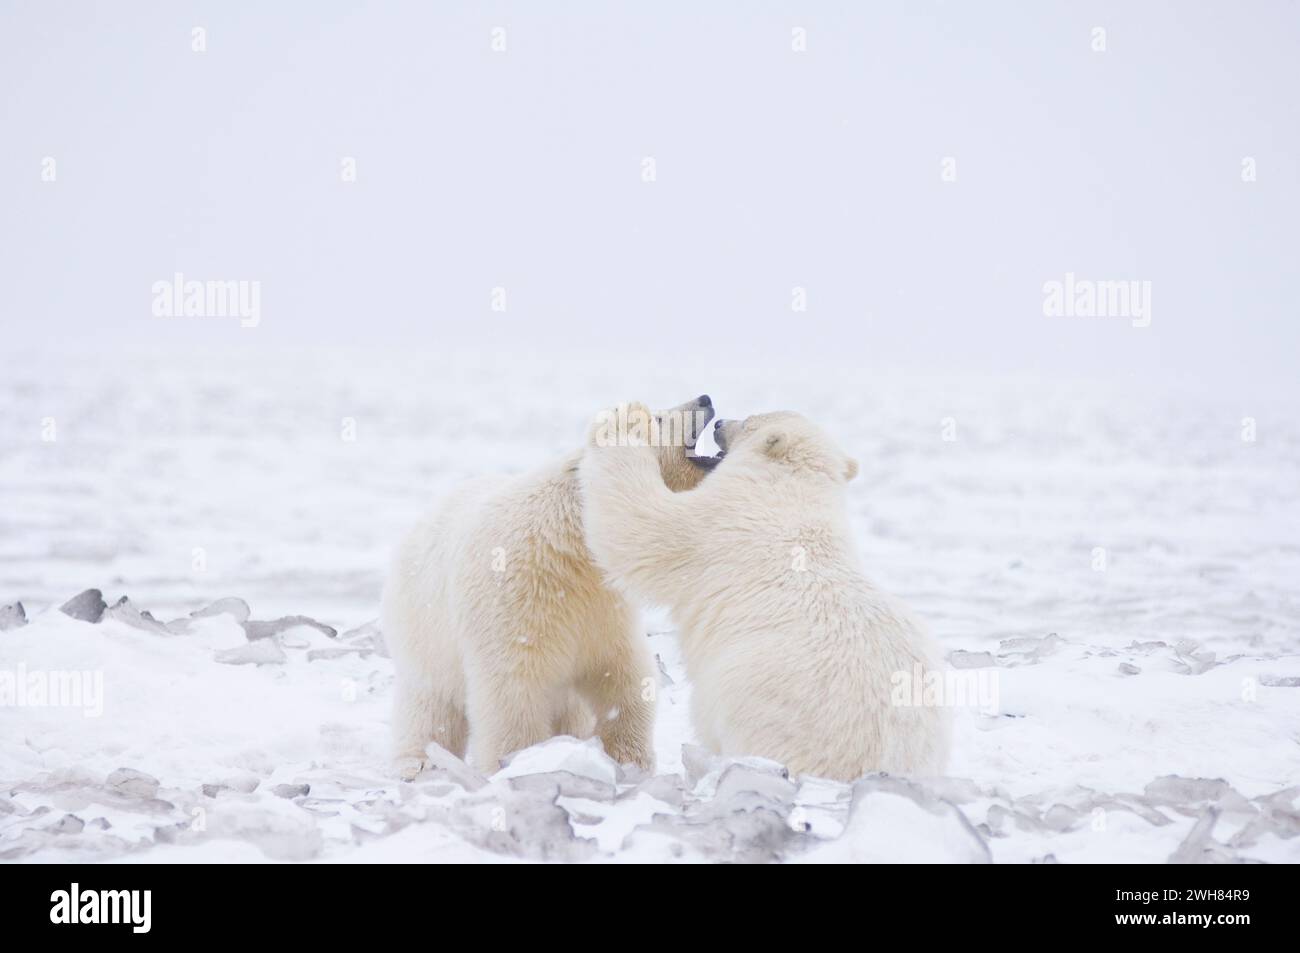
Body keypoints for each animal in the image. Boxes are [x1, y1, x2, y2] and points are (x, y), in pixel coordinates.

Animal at [381, 395, 715, 779]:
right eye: (660, 418)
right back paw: (418, 762)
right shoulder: (516, 601)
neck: (567, 544)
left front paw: (629, 759)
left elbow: (621, 671)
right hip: (423, 624)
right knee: (429, 701)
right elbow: (512, 690)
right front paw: (517, 761)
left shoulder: (603, 605)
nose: (705, 399)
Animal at [578, 404, 951, 781]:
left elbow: (642, 528)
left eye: (749, 421)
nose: (720, 422)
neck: (790, 489)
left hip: (759, 705)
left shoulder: (719, 521)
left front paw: (623, 425)